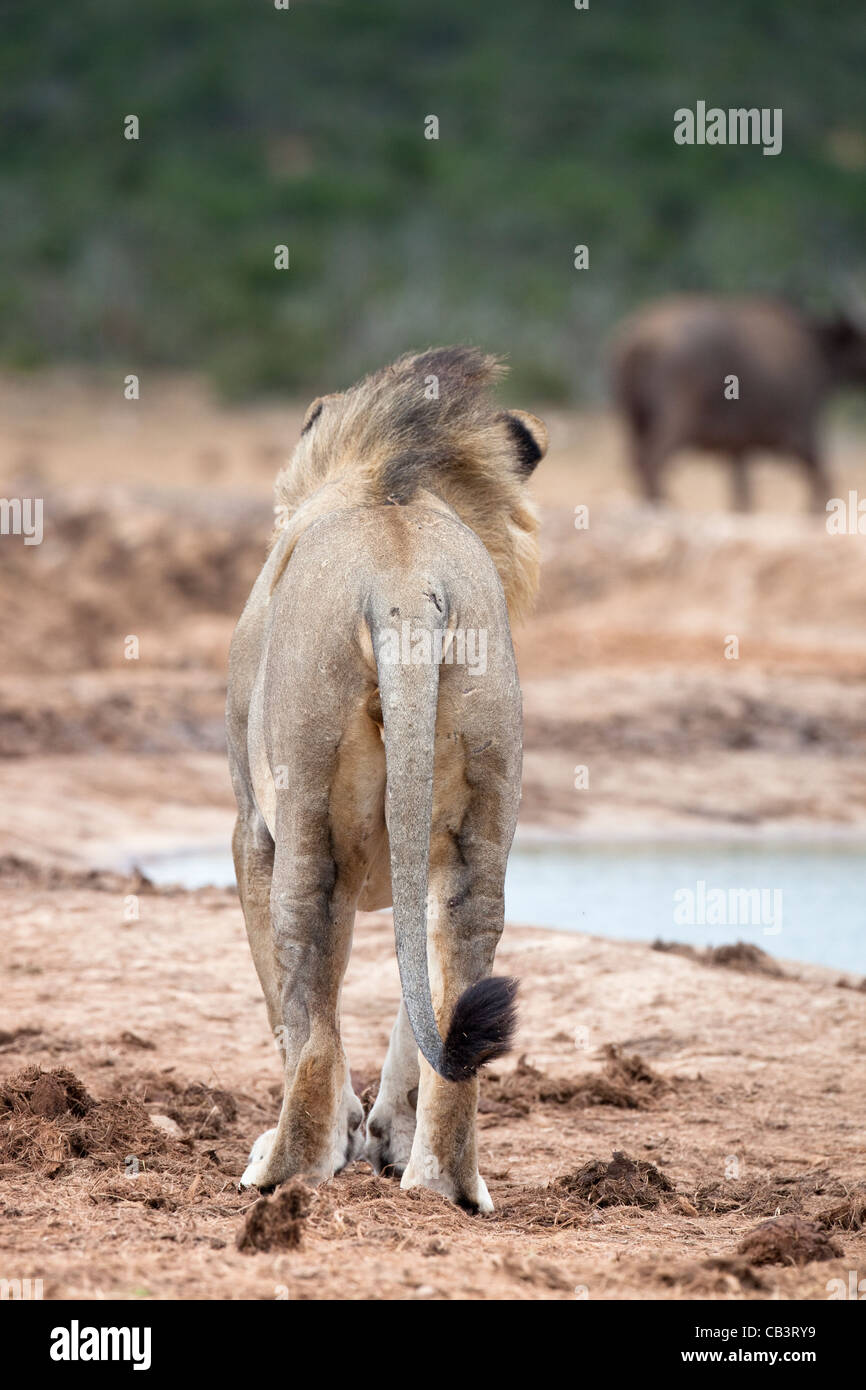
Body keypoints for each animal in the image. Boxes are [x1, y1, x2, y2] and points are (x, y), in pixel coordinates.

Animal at [226, 346, 547, 1211]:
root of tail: (404, 590)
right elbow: (417, 1002)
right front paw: (387, 1136)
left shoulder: (248, 826)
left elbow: (285, 1002)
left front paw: (350, 1134)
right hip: (480, 823)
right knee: (463, 959)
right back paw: (444, 1182)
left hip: (303, 808)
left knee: (307, 969)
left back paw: (285, 1165)